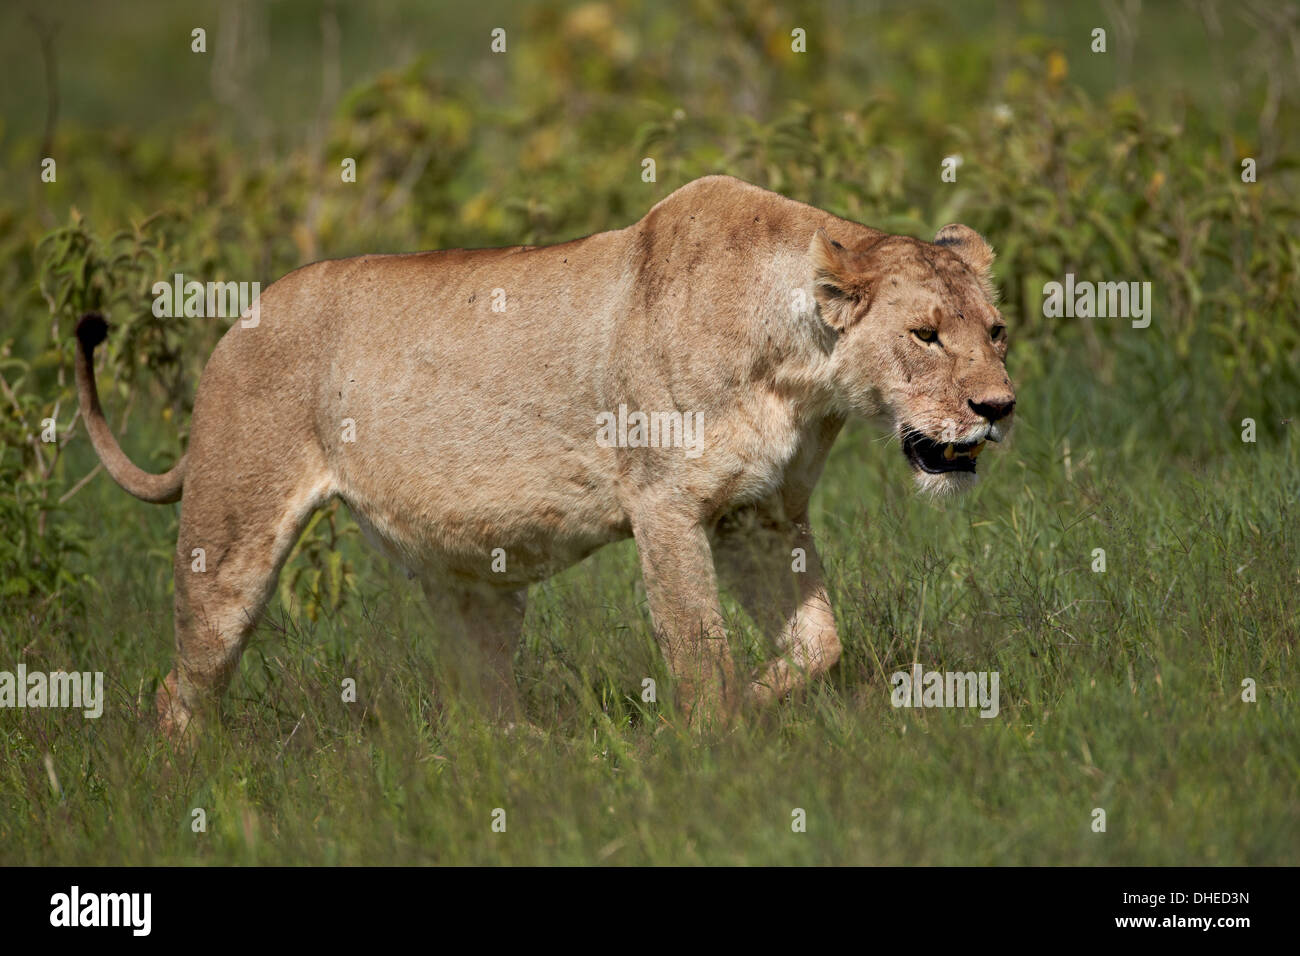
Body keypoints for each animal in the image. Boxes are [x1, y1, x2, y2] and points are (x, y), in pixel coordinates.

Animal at [73, 175, 1014, 738]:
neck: (800, 370)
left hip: (473, 582)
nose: (998, 409)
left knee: (480, 702)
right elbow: (698, 644)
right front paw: (713, 745)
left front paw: (753, 706)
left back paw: (529, 754)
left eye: (996, 332)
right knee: (181, 687)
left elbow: (819, 643)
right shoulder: (665, 503)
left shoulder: (763, 512)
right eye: (925, 335)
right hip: (230, 538)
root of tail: (240, 318)